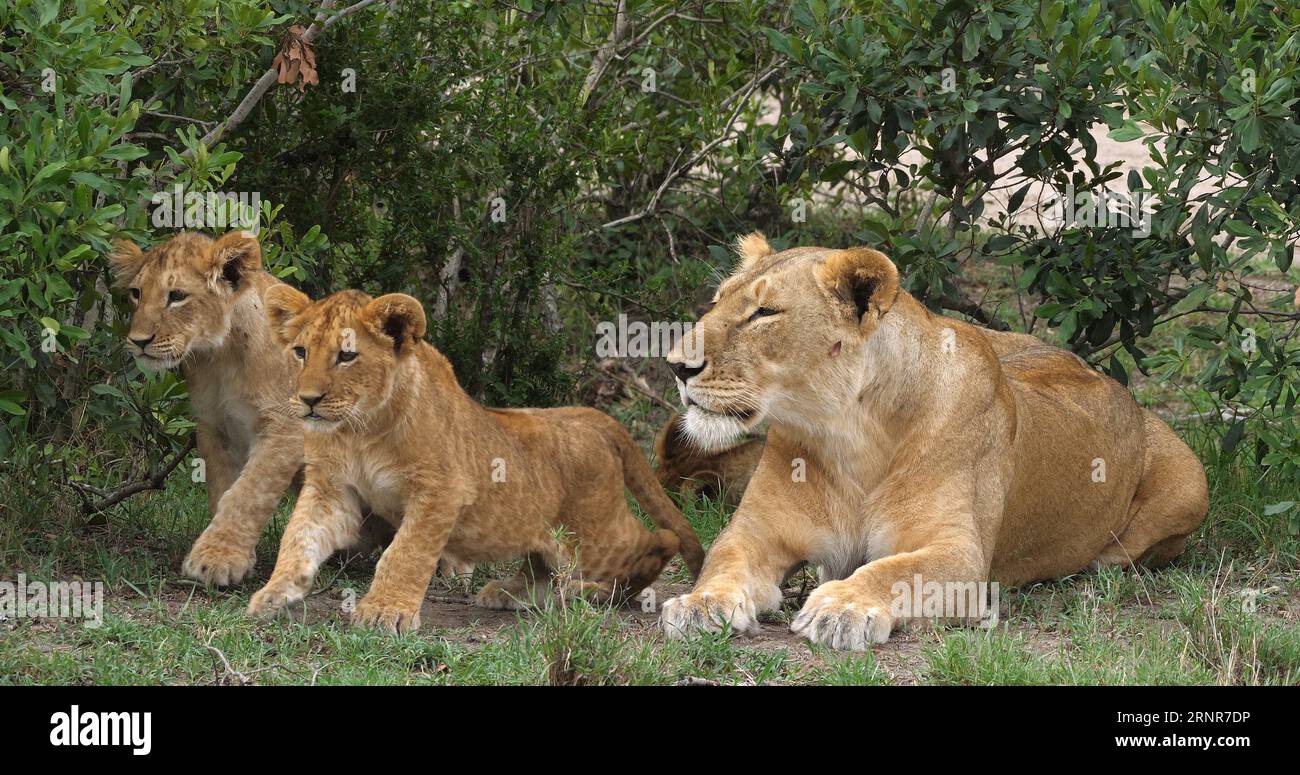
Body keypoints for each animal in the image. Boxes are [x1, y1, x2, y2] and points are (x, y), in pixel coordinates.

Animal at [245, 287, 705, 633]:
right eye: (301, 352)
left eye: (346, 356)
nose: (308, 400)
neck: (358, 431)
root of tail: (588, 416)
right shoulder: (331, 489)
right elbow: (298, 537)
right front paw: (274, 595)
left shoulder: (440, 490)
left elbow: (404, 552)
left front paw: (384, 611)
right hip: (549, 534)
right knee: (541, 565)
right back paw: (512, 594)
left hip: (595, 539)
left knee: (660, 540)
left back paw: (601, 592)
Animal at [659, 233, 1208, 650]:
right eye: (717, 301)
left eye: (764, 313)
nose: (677, 366)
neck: (847, 434)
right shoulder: (756, 530)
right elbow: (723, 560)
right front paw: (698, 605)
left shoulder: (962, 558)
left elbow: (894, 571)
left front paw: (842, 606)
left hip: (1190, 483)